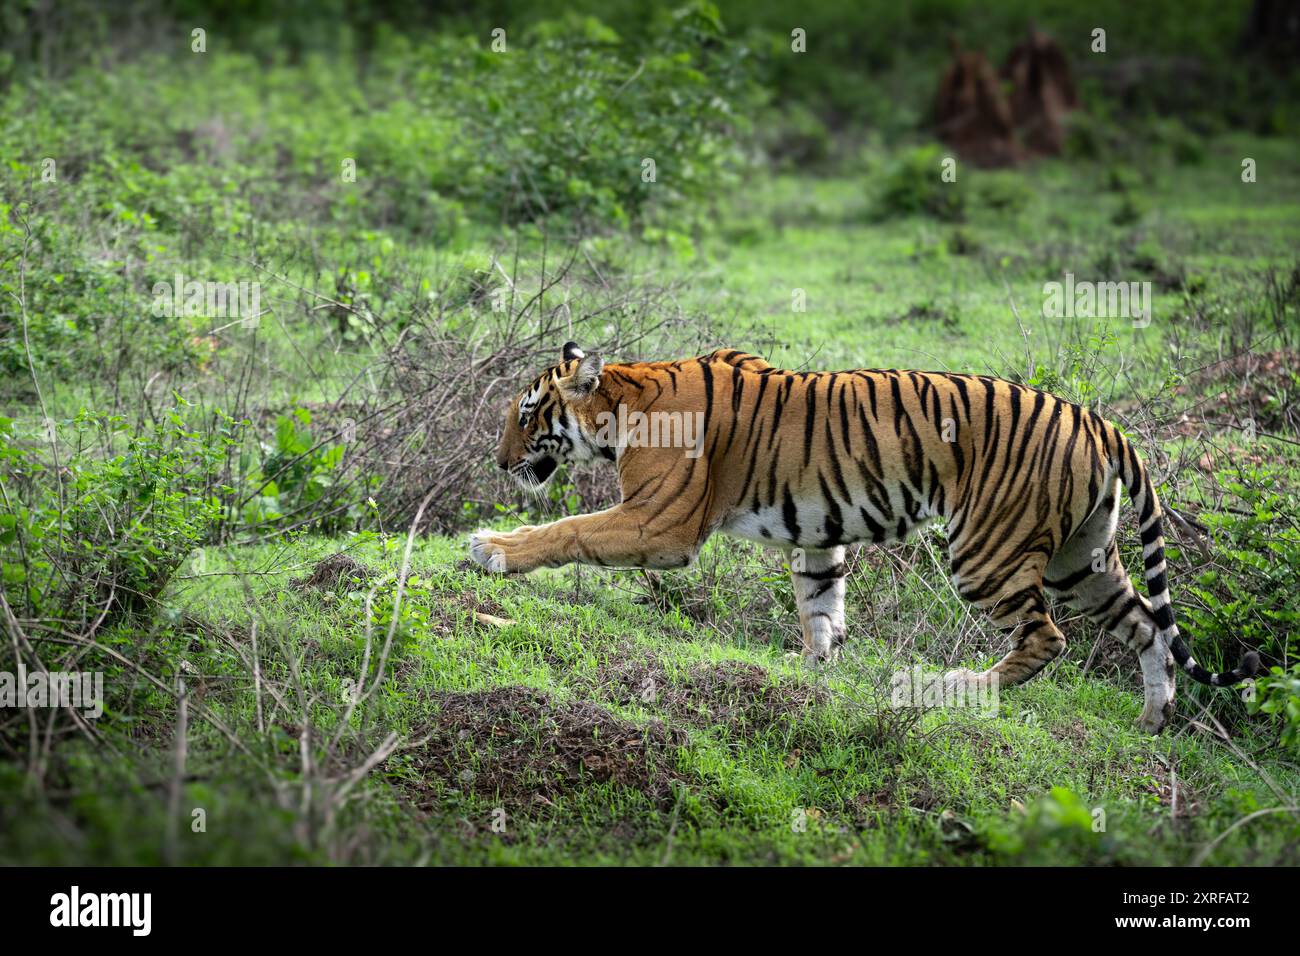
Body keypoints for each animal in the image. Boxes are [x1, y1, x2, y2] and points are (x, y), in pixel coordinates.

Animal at [470, 342, 1259, 734]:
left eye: (528, 411)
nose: (500, 462)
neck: (626, 400)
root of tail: (1099, 419)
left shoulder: (660, 521)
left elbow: (571, 528)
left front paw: (493, 550)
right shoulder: (817, 528)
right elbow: (820, 605)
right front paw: (812, 671)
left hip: (987, 550)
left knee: (1048, 637)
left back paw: (957, 688)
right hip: (1082, 559)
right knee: (1146, 624)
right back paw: (1154, 717)